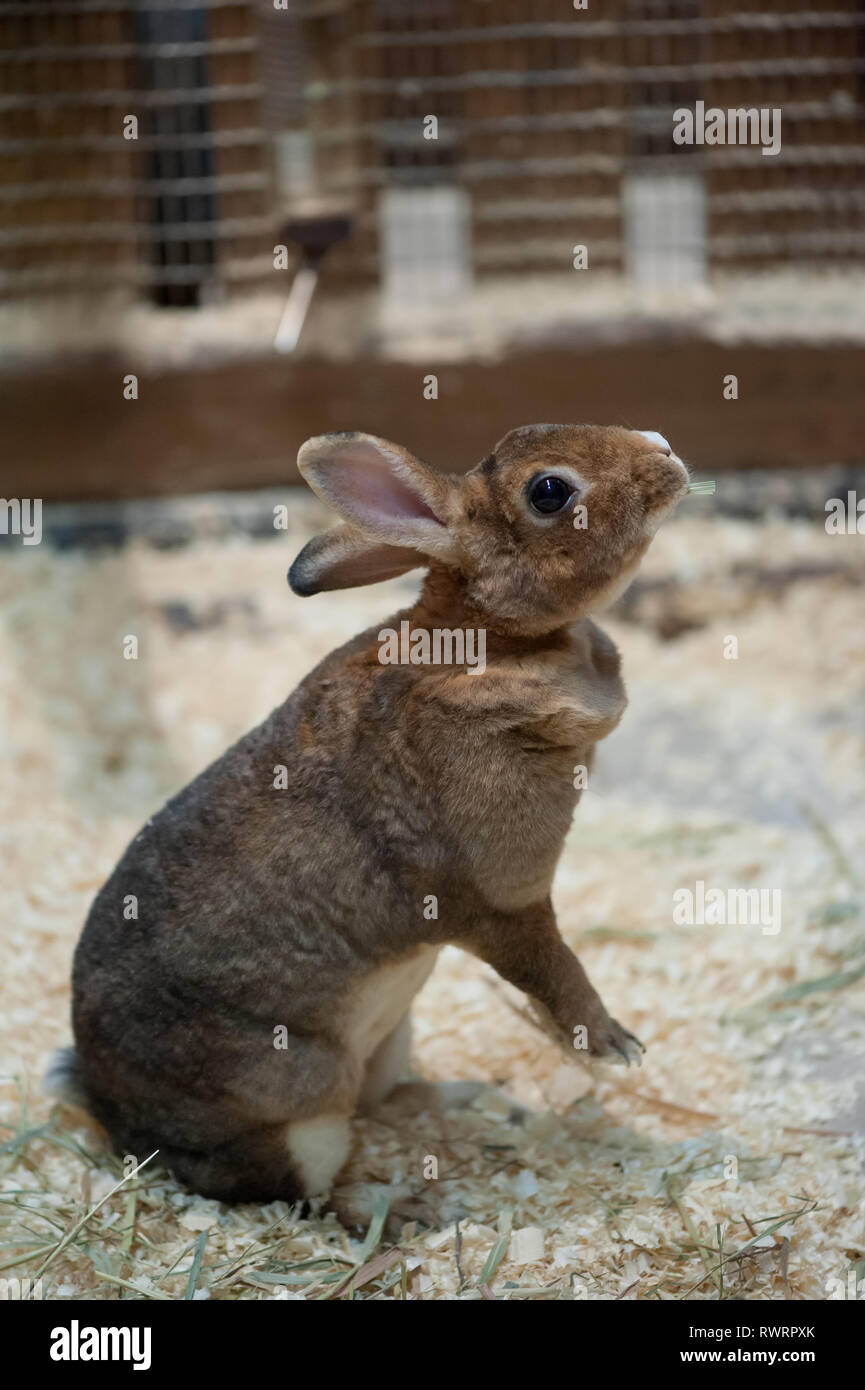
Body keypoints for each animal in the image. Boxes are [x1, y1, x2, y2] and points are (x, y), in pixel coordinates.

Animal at [50, 423, 689, 1205]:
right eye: (548, 491)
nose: (664, 450)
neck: (487, 640)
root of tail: (117, 1119)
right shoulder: (501, 904)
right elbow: (553, 970)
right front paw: (615, 1045)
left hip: (392, 1037)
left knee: (384, 1101)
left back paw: (473, 1100)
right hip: (300, 1113)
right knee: (307, 1188)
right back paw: (407, 1208)